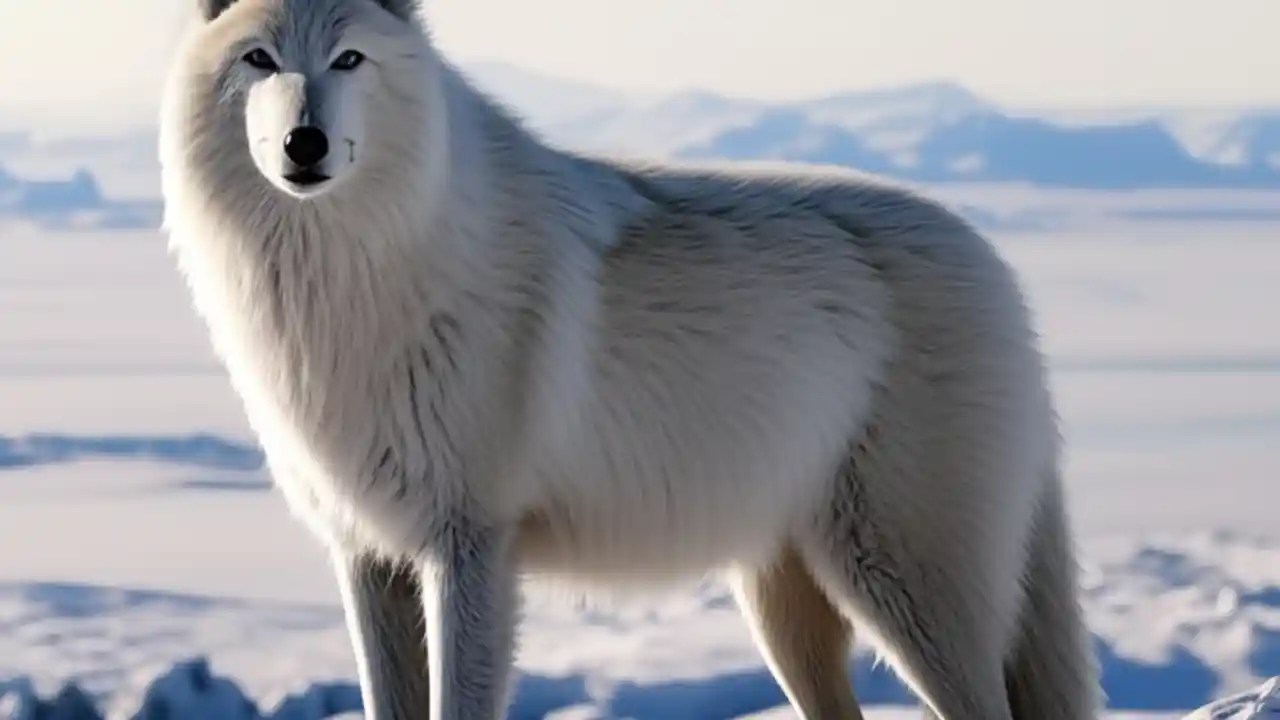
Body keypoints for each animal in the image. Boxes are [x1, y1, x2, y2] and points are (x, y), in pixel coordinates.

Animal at [160, 0, 1099, 718]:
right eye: (259, 59)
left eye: (348, 58)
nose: (305, 143)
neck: (355, 280)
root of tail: (995, 265)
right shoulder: (368, 556)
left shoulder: (470, 546)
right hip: (787, 608)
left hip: (903, 584)